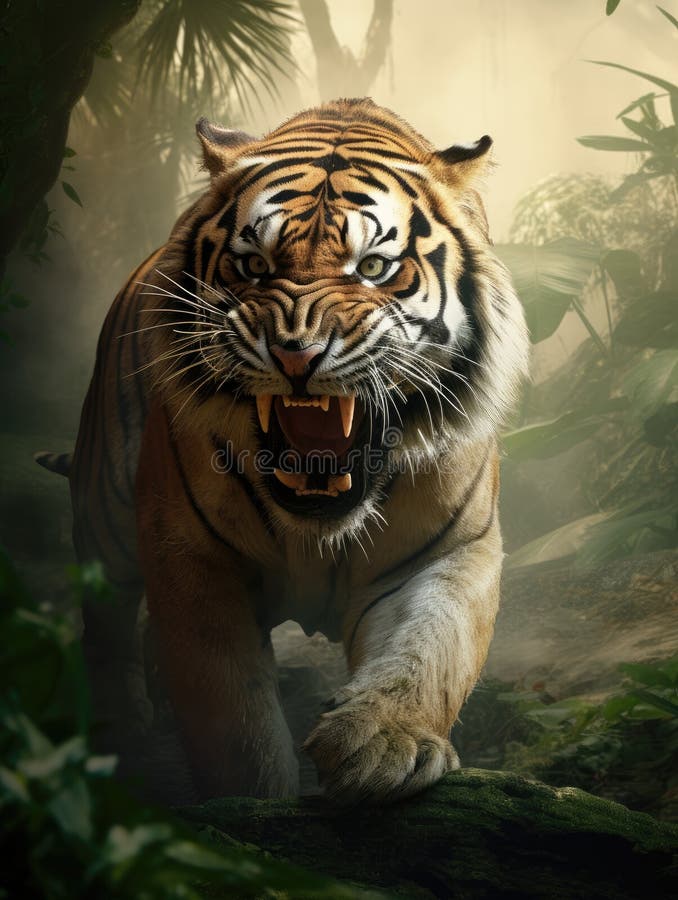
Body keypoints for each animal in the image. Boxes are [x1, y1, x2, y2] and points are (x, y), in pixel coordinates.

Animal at [37, 98, 528, 806]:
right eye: (254, 267)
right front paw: (249, 805)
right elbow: (232, 718)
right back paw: (119, 726)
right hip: (105, 515)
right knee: (105, 618)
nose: (297, 354)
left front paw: (385, 746)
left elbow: (427, 652)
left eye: (373, 268)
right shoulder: (192, 556)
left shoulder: (448, 553)